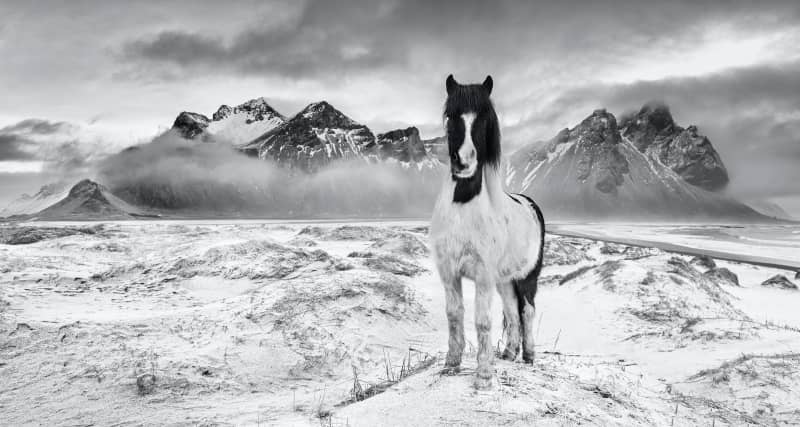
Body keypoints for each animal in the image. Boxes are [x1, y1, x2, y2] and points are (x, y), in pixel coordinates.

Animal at [429, 74, 545, 389]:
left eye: (483, 118)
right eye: (450, 115)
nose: (463, 161)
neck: (463, 206)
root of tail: (530, 203)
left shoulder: (482, 275)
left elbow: (482, 320)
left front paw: (483, 375)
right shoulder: (449, 272)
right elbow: (454, 315)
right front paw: (451, 364)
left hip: (527, 277)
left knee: (527, 311)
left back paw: (529, 356)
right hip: (504, 280)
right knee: (512, 312)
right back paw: (509, 353)